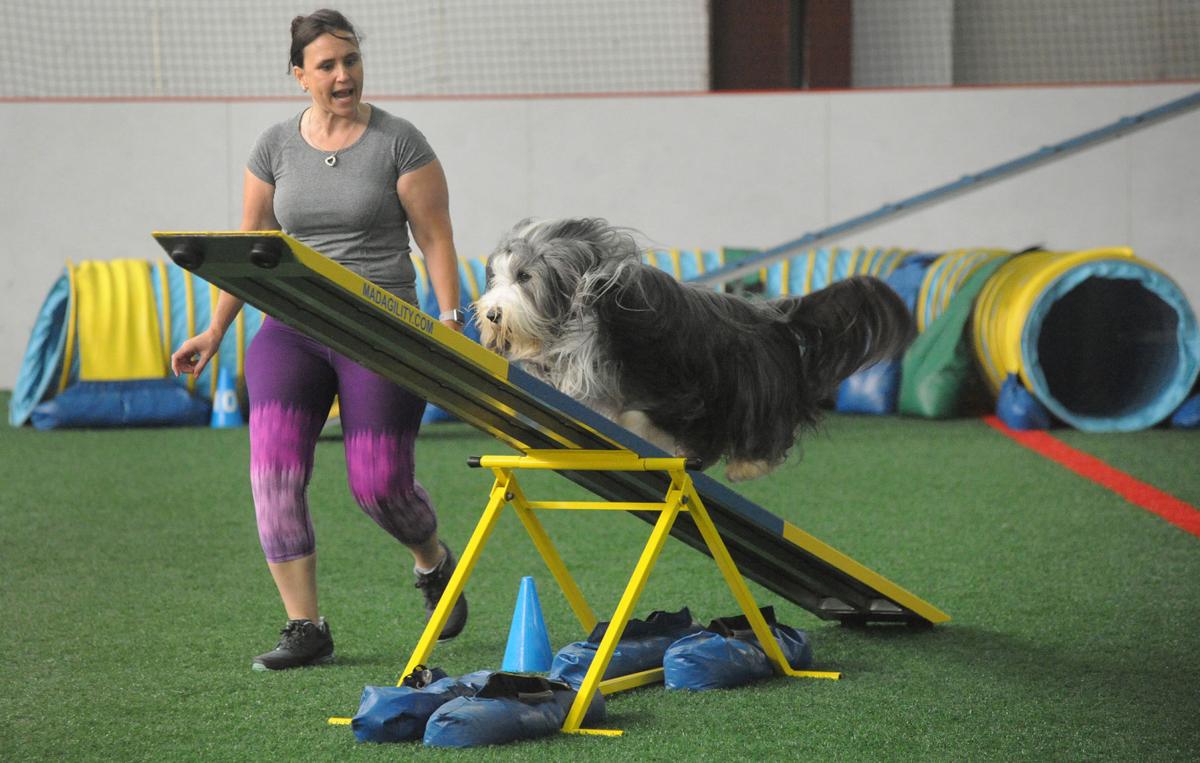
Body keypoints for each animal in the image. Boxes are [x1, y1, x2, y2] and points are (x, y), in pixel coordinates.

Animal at [472, 215, 912, 477]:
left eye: (525, 276)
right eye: (497, 276)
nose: (492, 314)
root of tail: (772, 315)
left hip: (746, 389)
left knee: (759, 429)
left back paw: (747, 465)